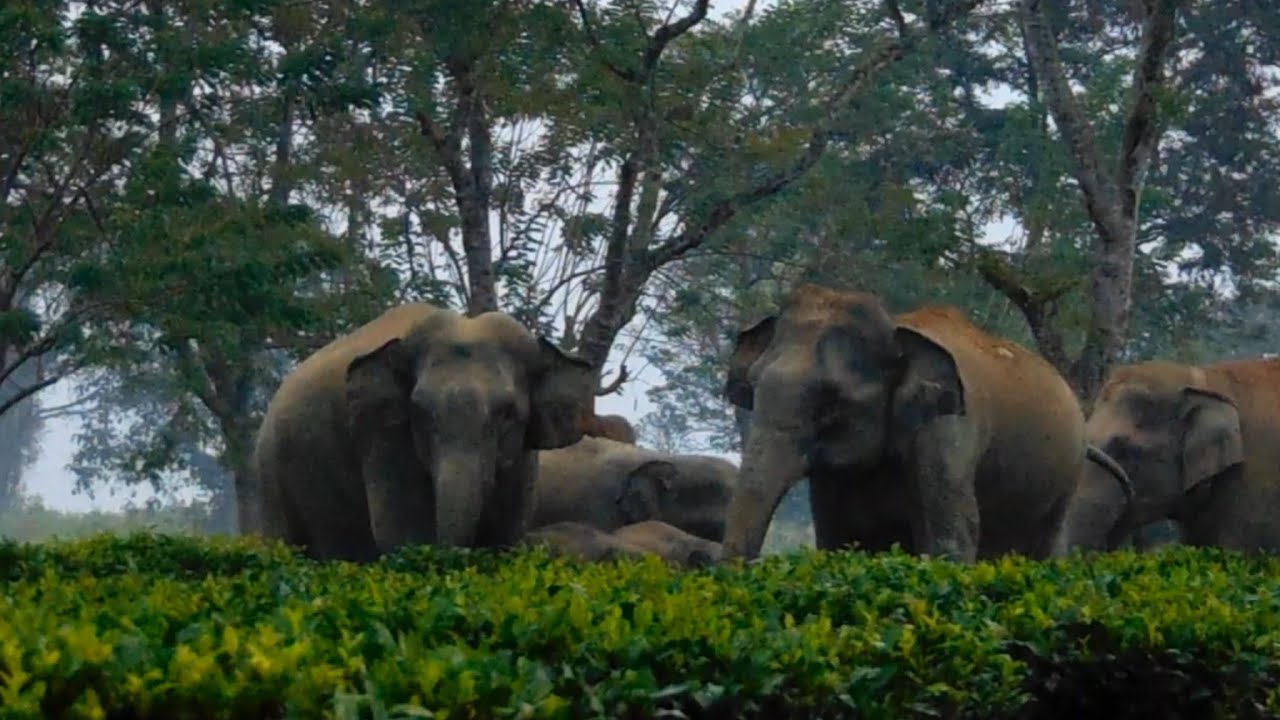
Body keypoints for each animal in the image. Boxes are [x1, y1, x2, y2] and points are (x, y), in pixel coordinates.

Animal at [250, 302, 597, 561]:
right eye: (420, 412)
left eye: (507, 414)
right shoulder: (382, 436)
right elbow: (405, 534)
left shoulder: (523, 453)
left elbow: (505, 535)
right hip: (271, 474)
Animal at [719, 283, 1089, 563]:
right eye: (752, 386)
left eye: (831, 402)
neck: (895, 327)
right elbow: (840, 538)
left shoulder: (944, 437)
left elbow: (950, 540)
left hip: (1066, 481)